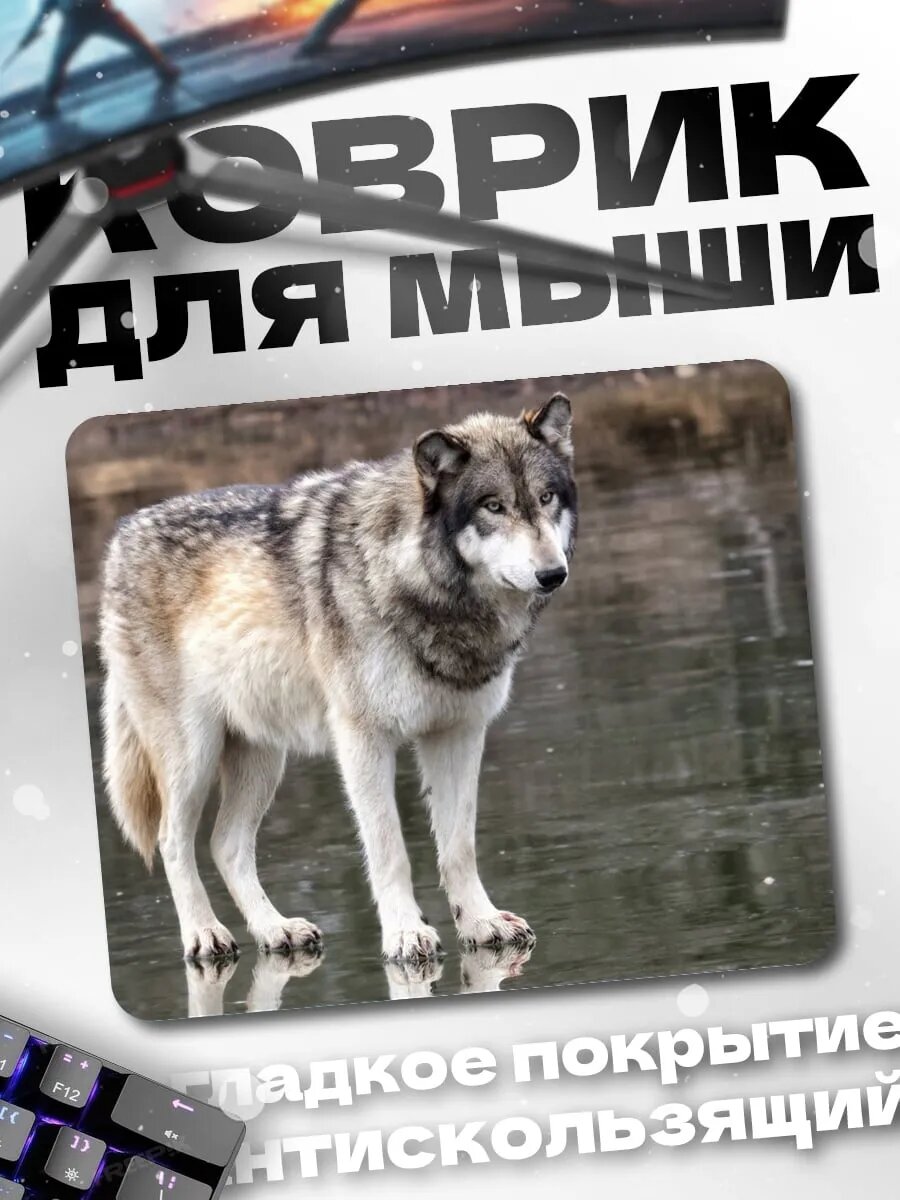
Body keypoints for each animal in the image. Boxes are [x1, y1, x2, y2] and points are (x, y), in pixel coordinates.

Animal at [100, 392, 576, 963]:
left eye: (546, 497)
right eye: (493, 506)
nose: (553, 574)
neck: (426, 587)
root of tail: (122, 533)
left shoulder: (458, 734)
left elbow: (459, 846)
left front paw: (481, 922)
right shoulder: (363, 741)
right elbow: (390, 848)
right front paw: (405, 934)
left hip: (262, 758)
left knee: (226, 844)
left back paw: (275, 930)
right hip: (193, 757)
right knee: (173, 840)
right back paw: (204, 934)